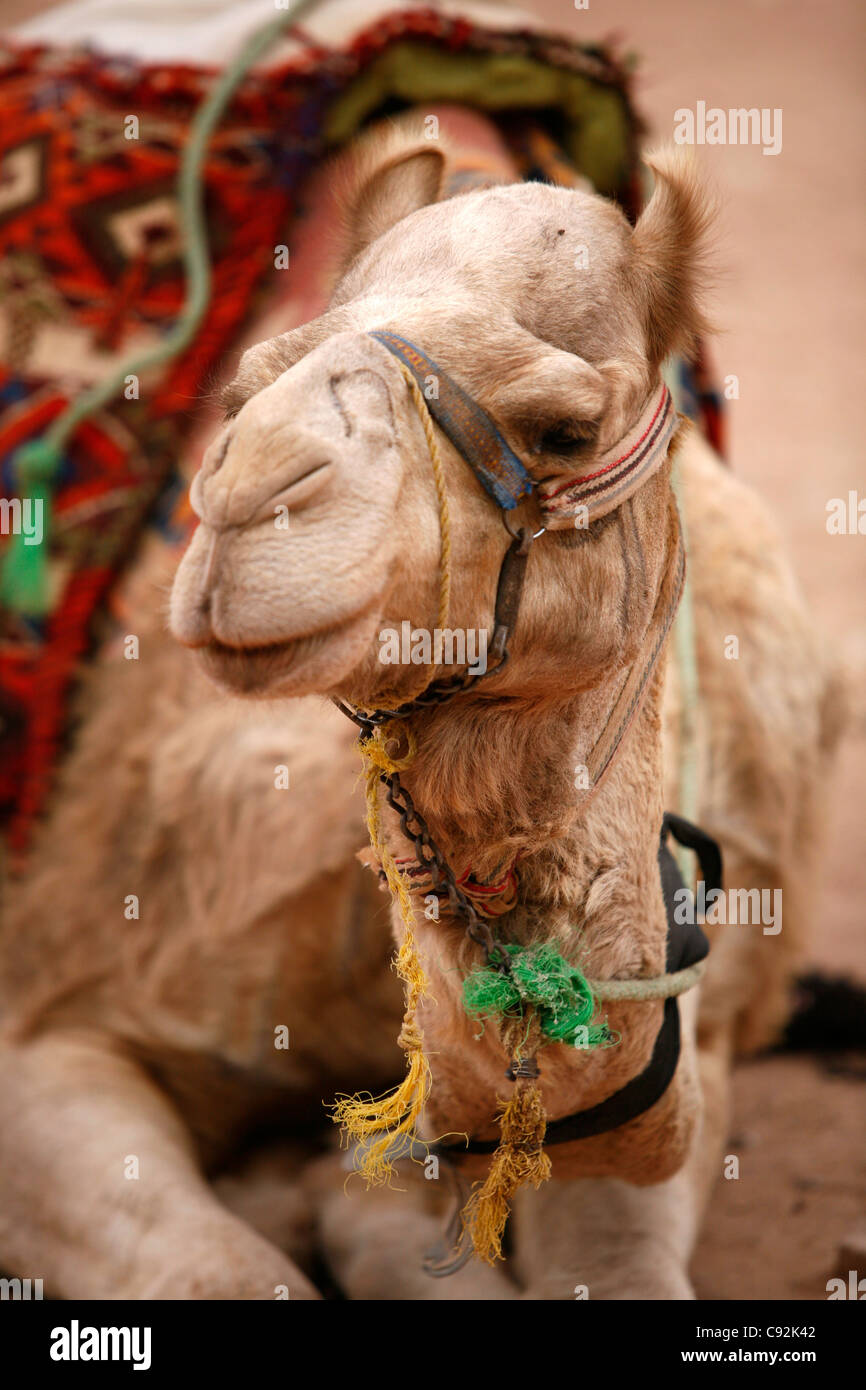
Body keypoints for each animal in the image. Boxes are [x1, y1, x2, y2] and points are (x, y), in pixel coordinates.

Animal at [0, 117, 840, 1300]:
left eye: (568, 428)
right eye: (241, 394)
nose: (251, 501)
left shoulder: (677, 1073)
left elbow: (617, 1256)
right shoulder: (63, 1009)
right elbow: (225, 1272)